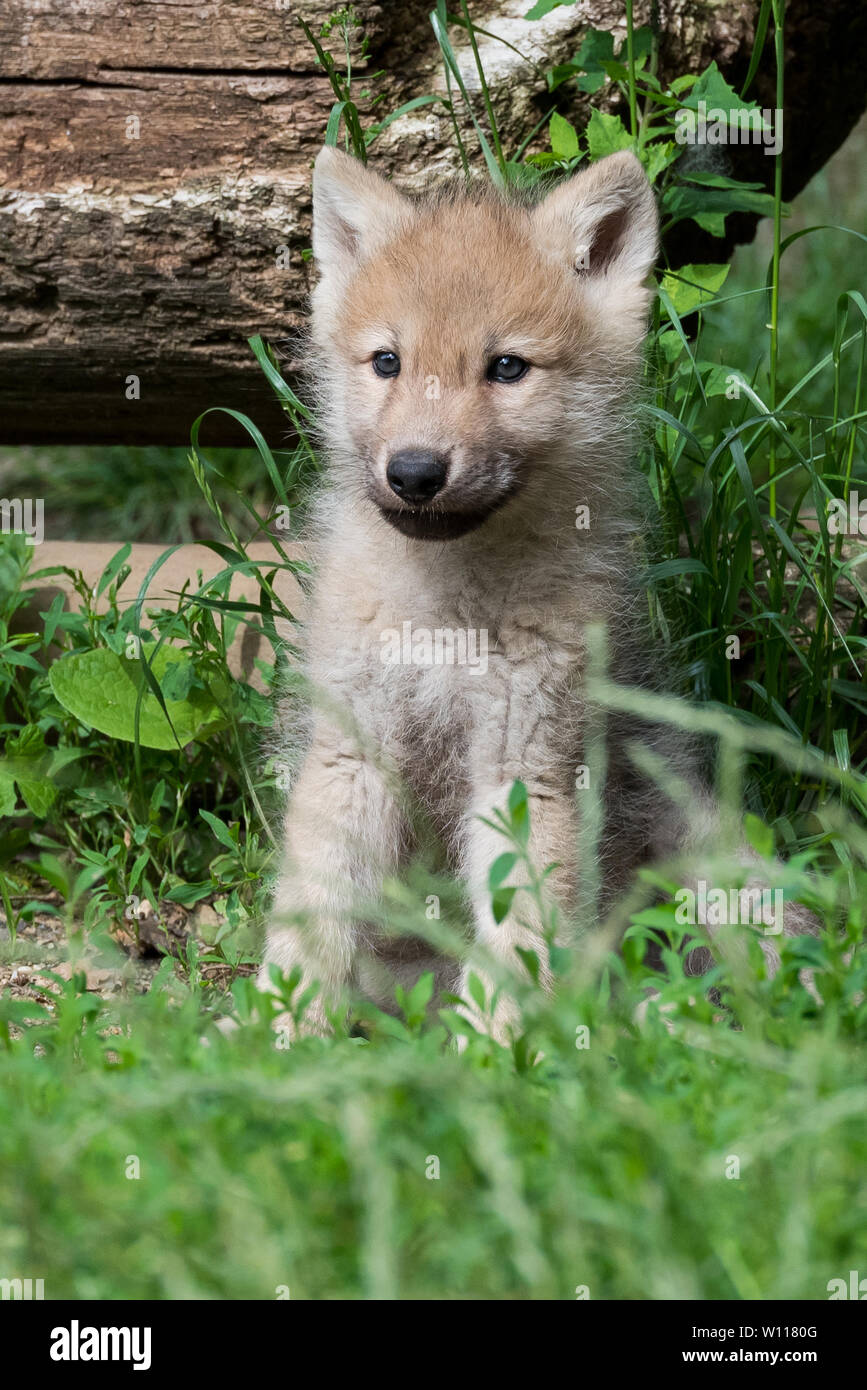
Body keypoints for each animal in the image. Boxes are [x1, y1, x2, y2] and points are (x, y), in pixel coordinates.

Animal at [259, 146, 811, 1042]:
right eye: (388, 362)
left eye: (507, 369)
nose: (414, 473)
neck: (445, 610)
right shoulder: (351, 753)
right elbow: (312, 916)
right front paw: (276, 1037)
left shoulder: (528, 766)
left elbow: (519, 934)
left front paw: (497, 1053)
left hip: (705, 854)